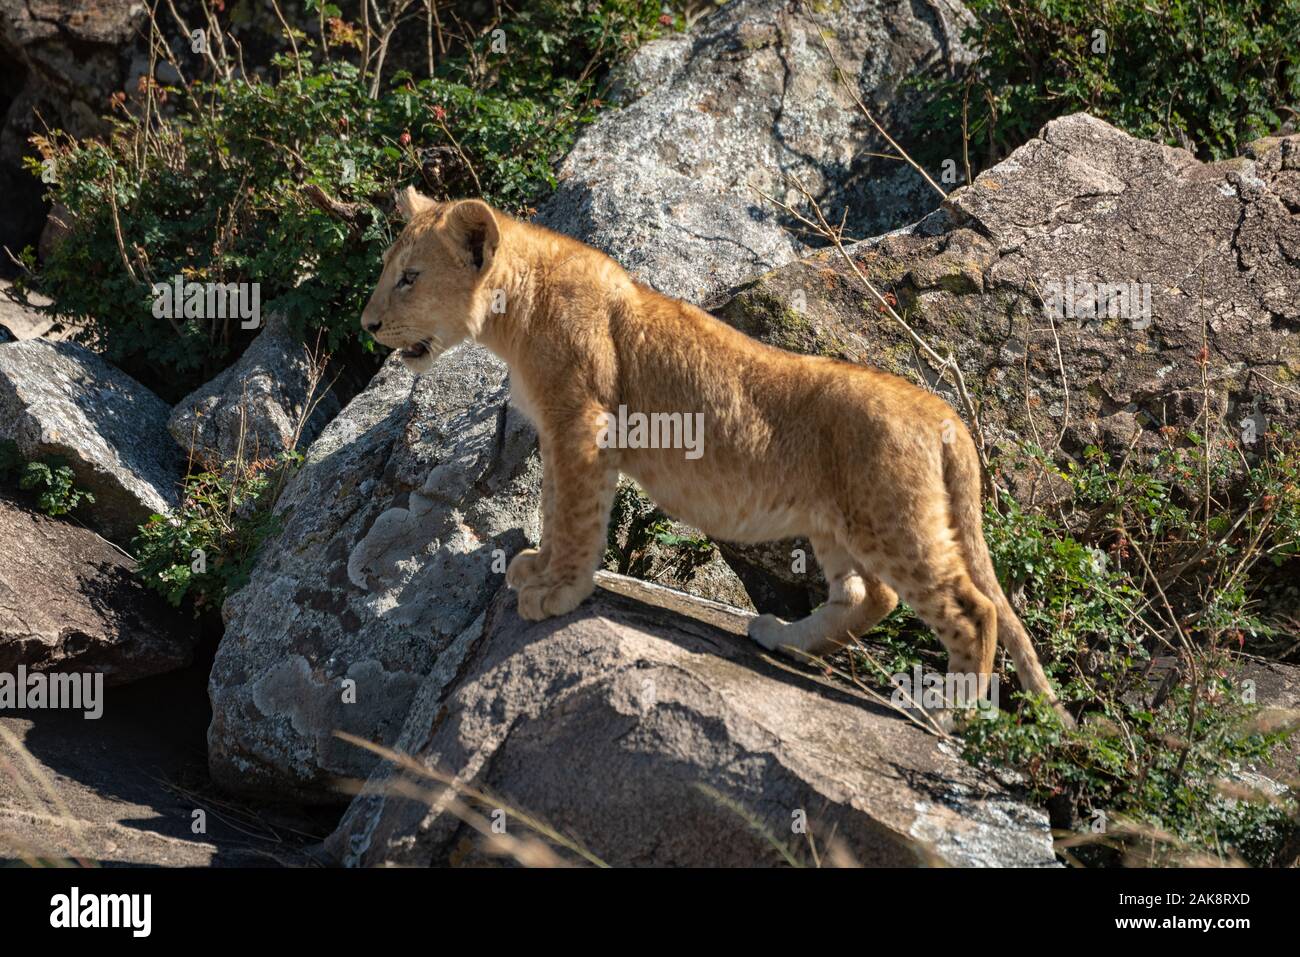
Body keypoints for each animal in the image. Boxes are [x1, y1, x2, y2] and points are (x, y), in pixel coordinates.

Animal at [360, 187, 1068, 720]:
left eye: (410, 278)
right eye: (388, 270)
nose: (367, 326)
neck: (515, 312)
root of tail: (943, 413)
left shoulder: (583, 428)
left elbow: (577, 518)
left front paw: (560, 592)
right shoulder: (560, 436)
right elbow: (555, 507)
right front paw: (537, 569)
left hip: (894, 518)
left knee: (972, 610)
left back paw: (949, 712)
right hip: (837, 522)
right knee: (870, 596)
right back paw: (781, 636)